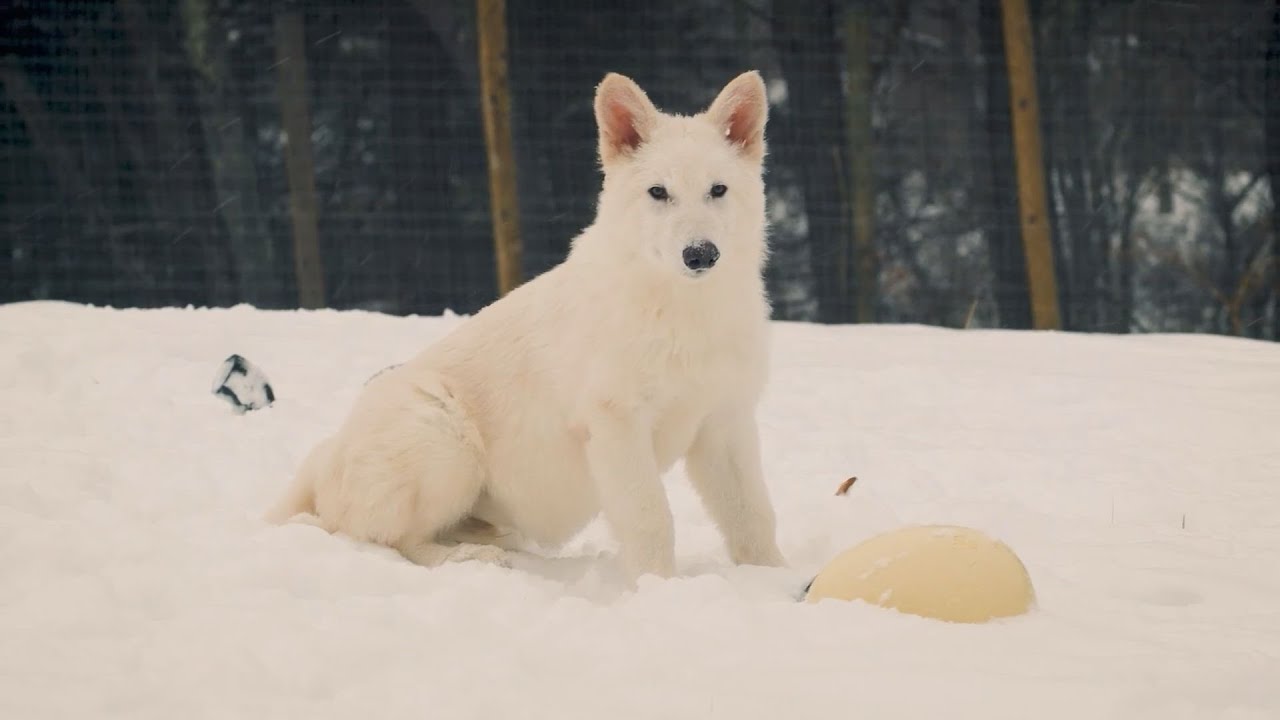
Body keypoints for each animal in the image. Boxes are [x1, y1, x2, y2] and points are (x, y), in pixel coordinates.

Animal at [265, 70, 787, 583]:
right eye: (658, 192)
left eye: (718, 190)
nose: (700, 255)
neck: (683, 309)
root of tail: (325, 462)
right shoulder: (618, 425)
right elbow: (651, 519)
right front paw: (656, 590)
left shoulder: (724, 425)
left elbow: (753, 517)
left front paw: (774, 582)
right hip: (444, 438)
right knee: (393, 541)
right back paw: (472, 560)